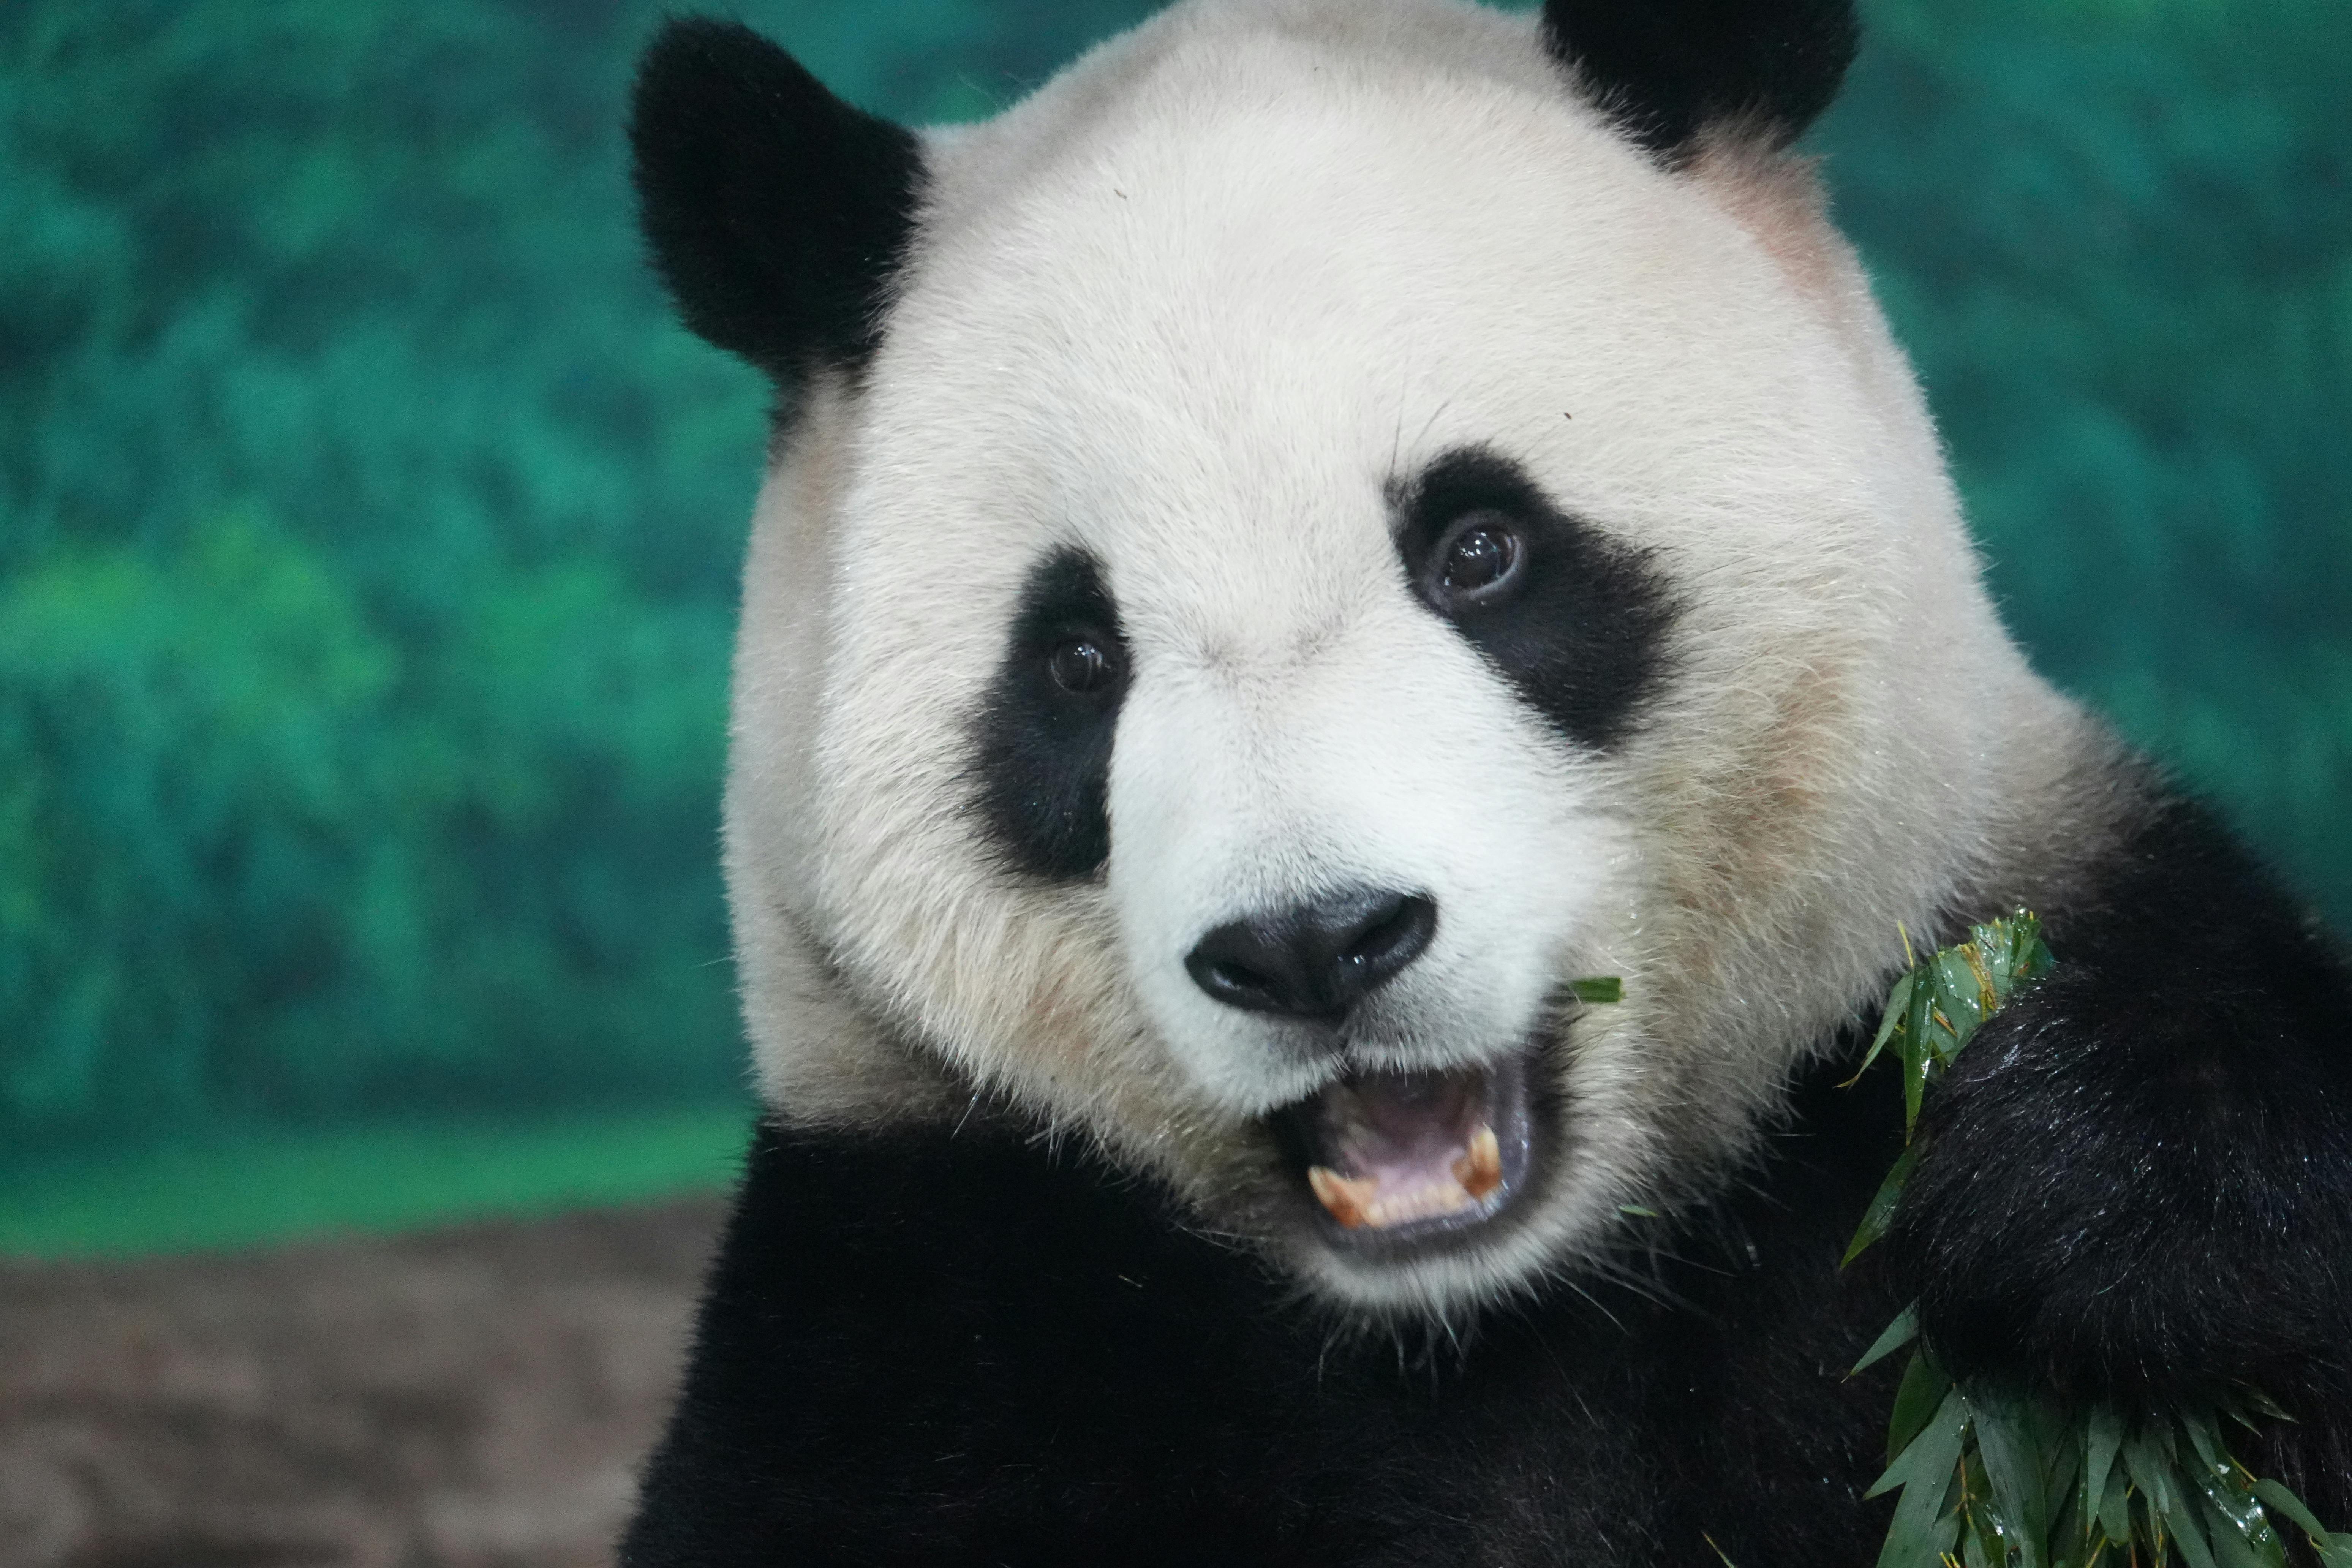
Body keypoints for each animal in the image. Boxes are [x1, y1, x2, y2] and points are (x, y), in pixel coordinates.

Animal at [619, 0, 2352, 1560]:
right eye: (1076, 662)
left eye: (1478, 551)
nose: (1312, 943)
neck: (1490, 1298)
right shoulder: (928, 1303)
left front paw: (2093, 1186)